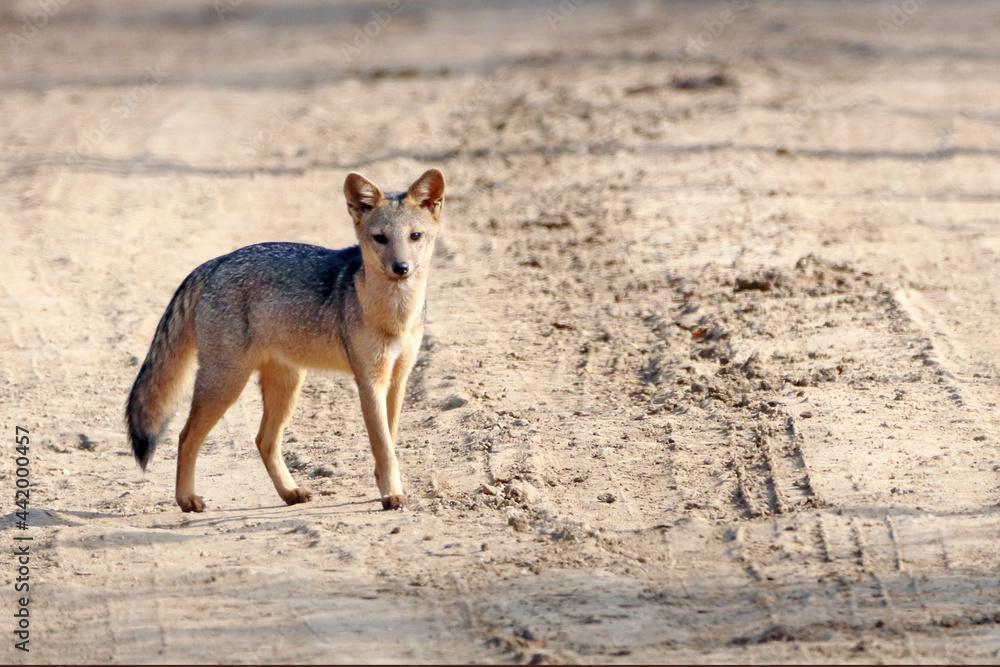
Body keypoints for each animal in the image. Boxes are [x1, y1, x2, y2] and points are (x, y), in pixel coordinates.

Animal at [125, 169, 445, 512]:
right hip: (226, 383)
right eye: (380, 238)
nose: (401, 268)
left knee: (263, 441)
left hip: (287, 384)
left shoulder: (398, 378)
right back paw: (186, 499)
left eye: (415, 236)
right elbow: (383, 444)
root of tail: (216, 262)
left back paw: (289, 492)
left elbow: (390, 440)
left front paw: (387, 487)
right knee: (186, 436)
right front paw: (391, 494)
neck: (395, 316)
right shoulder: (369, 380)